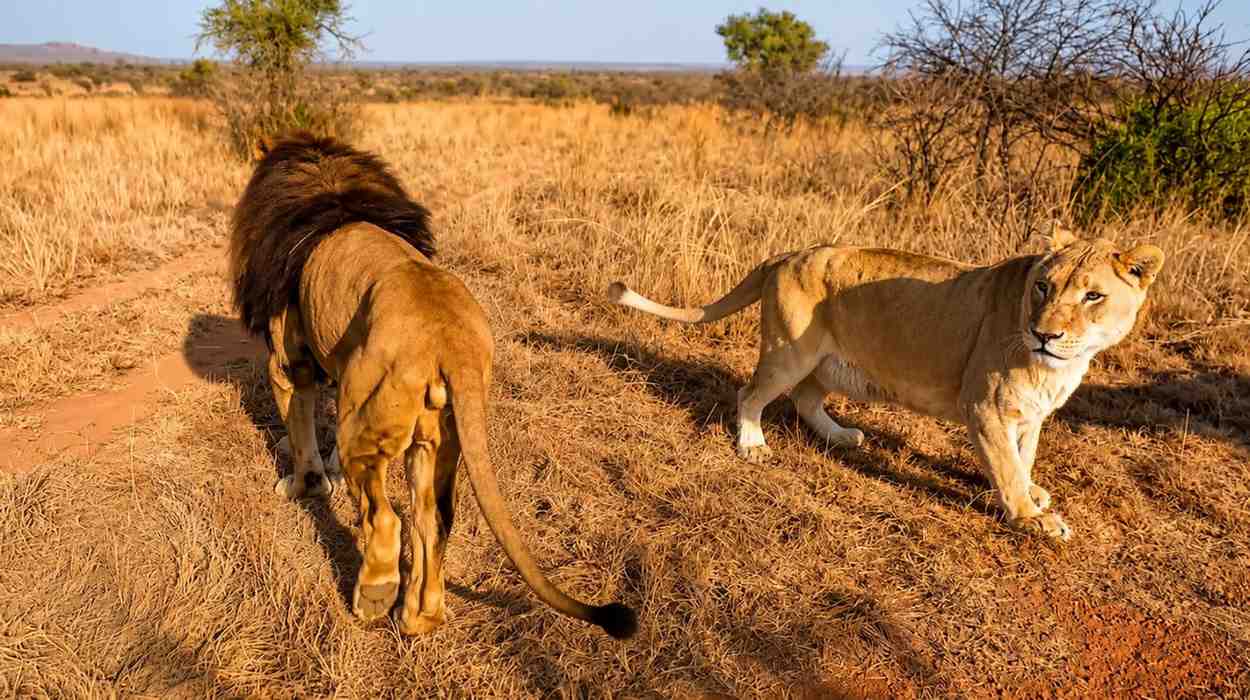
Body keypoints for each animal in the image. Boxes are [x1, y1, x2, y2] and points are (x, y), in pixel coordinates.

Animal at [230, 133, 636, 638]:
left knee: (386, 519)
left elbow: (303, 437)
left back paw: (374, 598)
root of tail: (452, 339)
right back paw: (419, 617)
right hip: (439, 437)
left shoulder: (291, 364)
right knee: (433, 521)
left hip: (367, 424)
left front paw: (305, 485)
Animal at [608, 226, 1164, 540]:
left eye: (1093, 296)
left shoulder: (1028, 413)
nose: (1044, 333)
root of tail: (787, 254)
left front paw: (1032, 492)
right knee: (752, 394)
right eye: (1043, 287)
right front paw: (1033, 518)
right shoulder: (983, 406)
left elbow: (1022, 458)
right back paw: (753, 445)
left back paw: (843, 436)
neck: (1060, 366)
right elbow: (1005, 467)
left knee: (806, 399)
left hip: (832, 364)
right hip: (790, 350)